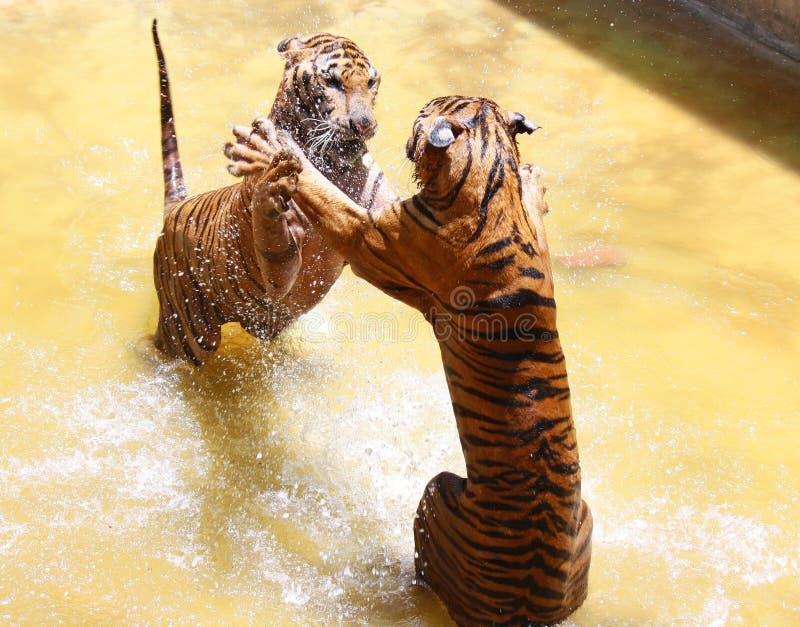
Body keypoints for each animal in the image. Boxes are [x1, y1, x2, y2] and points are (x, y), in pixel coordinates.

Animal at [150, 21, 395, 365]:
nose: (363, 125)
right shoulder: (278, 272)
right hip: (187, 331)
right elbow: (275, 240)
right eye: (332, 81)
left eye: (370, 82)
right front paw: (270, 174)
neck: (337, 166)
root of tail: (177, 206)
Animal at [224, 96, 592, 625]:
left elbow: (323, 195)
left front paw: (272, 149)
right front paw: (535, 183)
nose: (399, 130)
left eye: (422, 114)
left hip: (436, 496)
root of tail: (530, 606)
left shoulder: (369, 238)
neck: (490, 176)